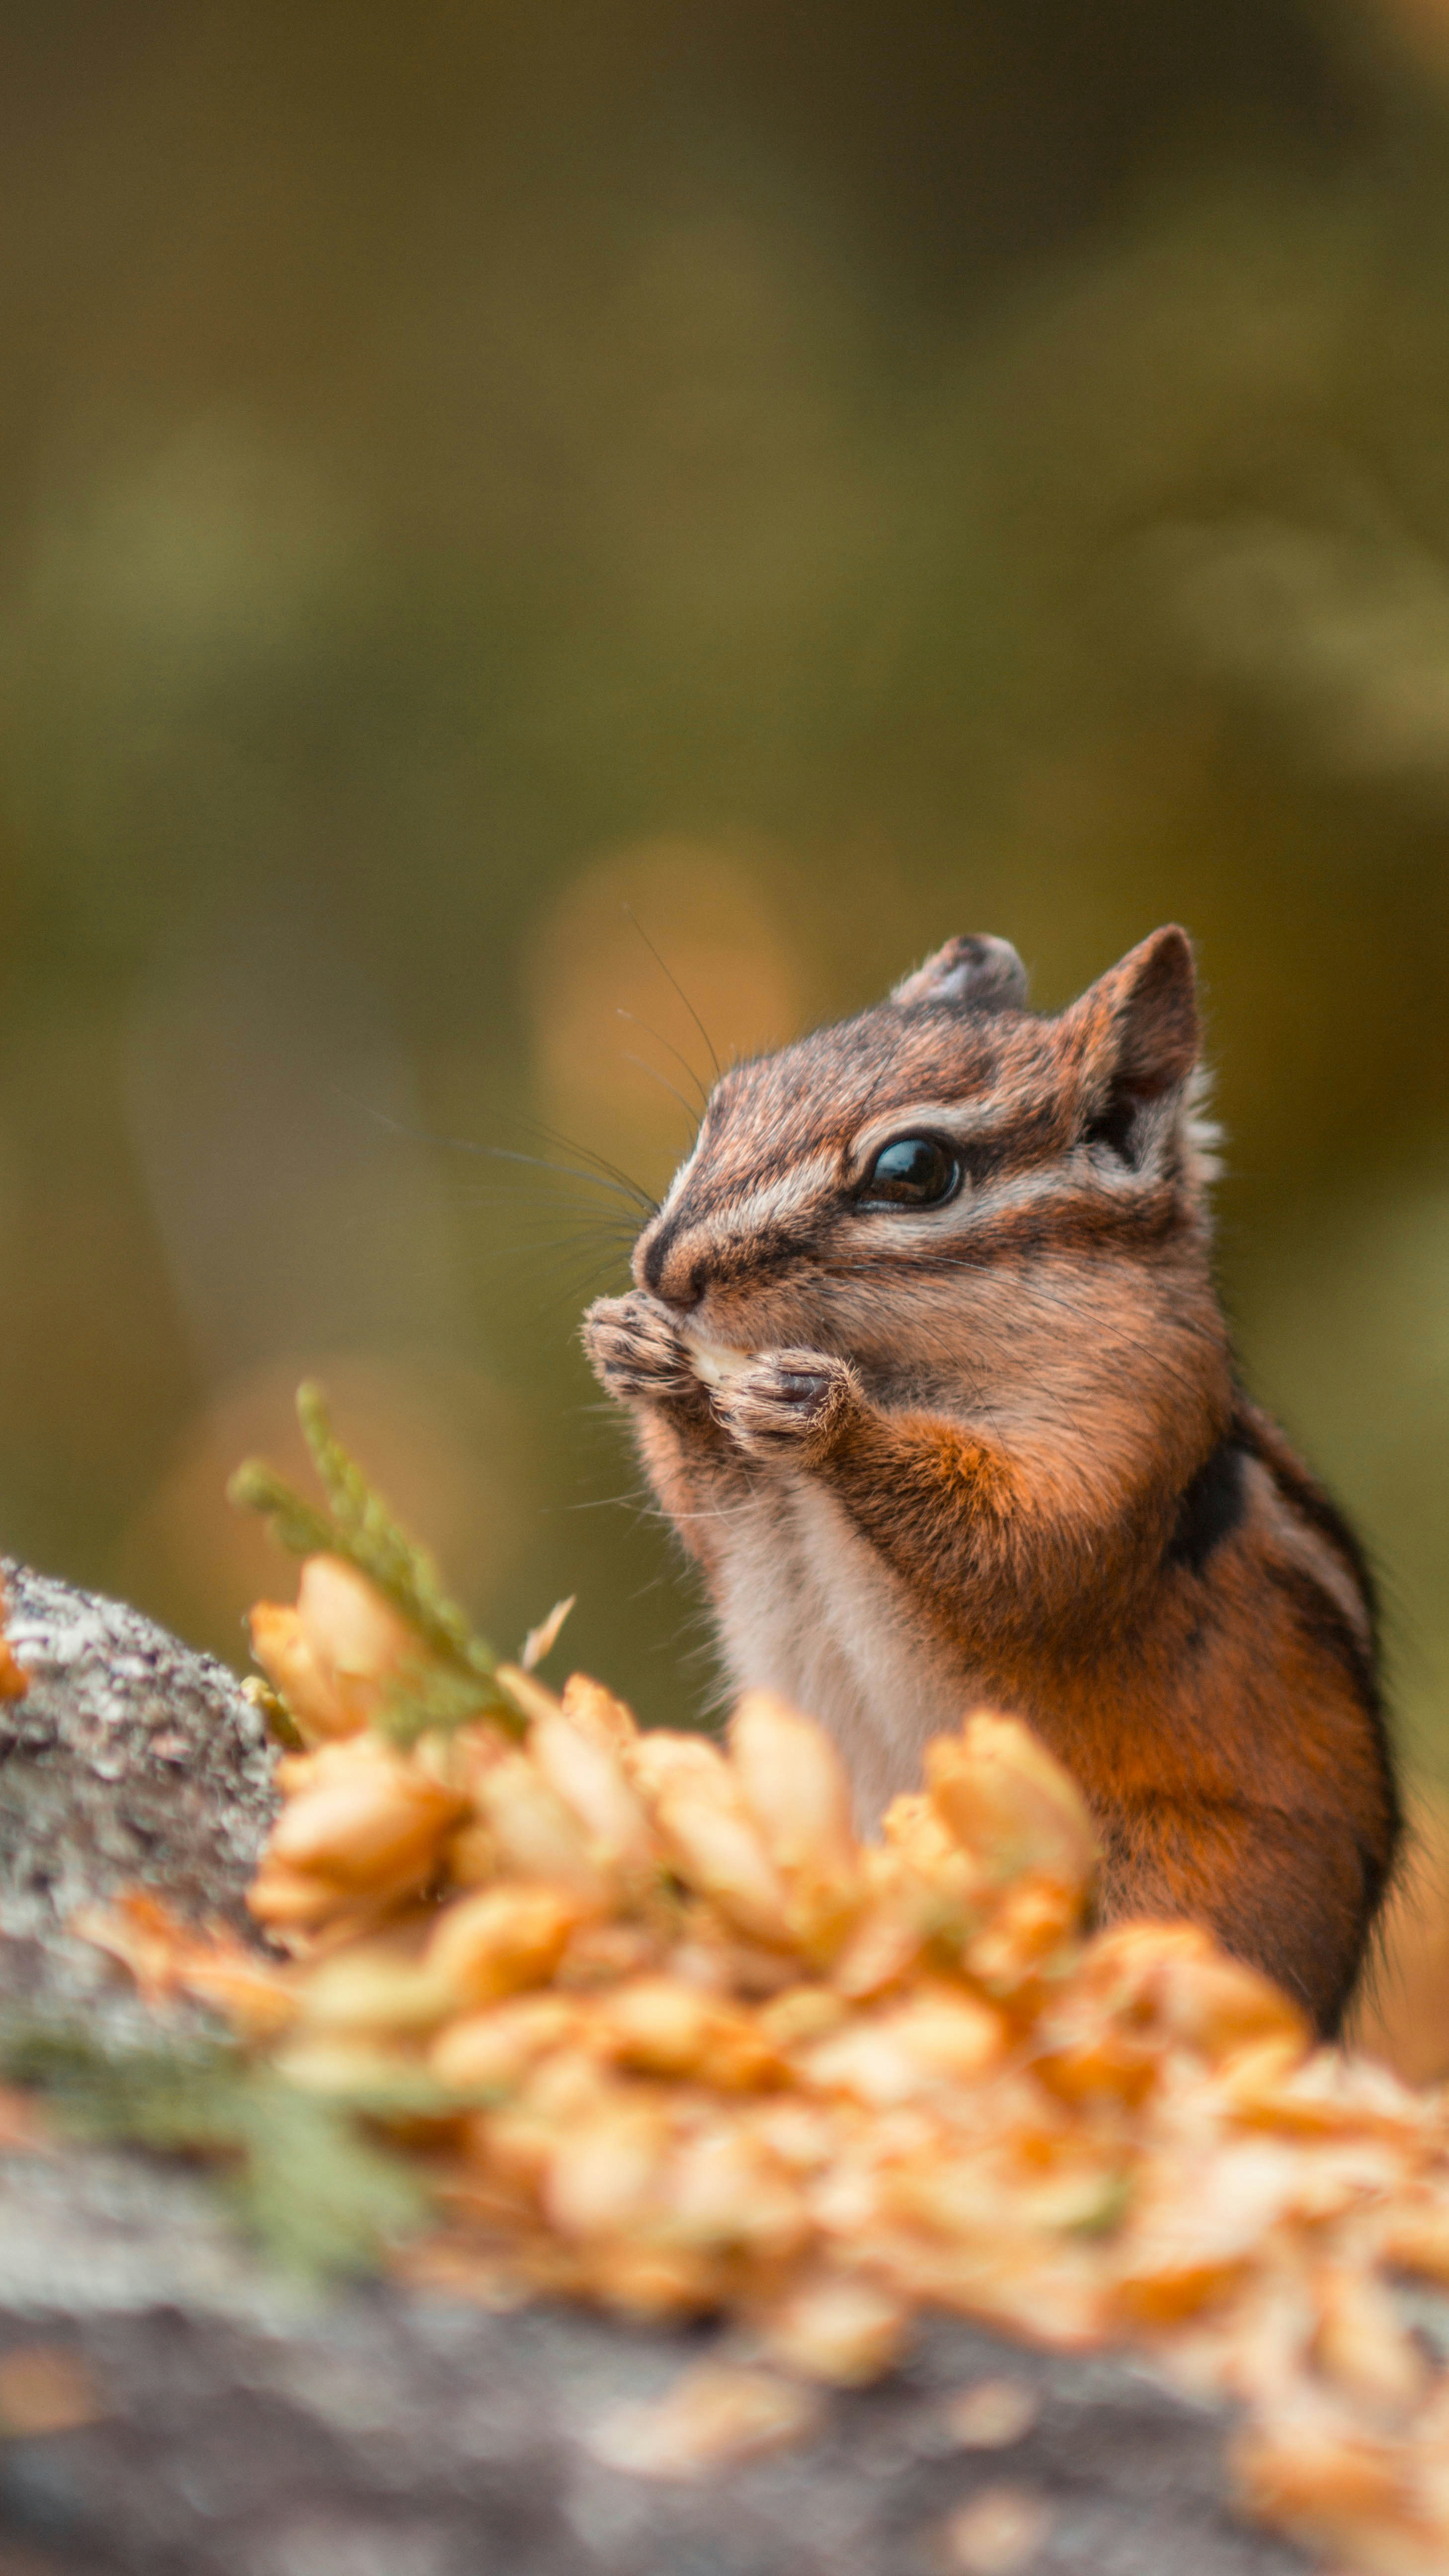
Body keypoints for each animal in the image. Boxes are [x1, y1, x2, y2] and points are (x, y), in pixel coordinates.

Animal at [582, 926, 1399, 2034]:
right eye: (728, 1099)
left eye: (913, 1169)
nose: (662, 1266)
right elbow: (704, 1509)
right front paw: (633, 1346)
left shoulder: (1131, 1418)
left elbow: (1031, 1550)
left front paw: (828, 1418)